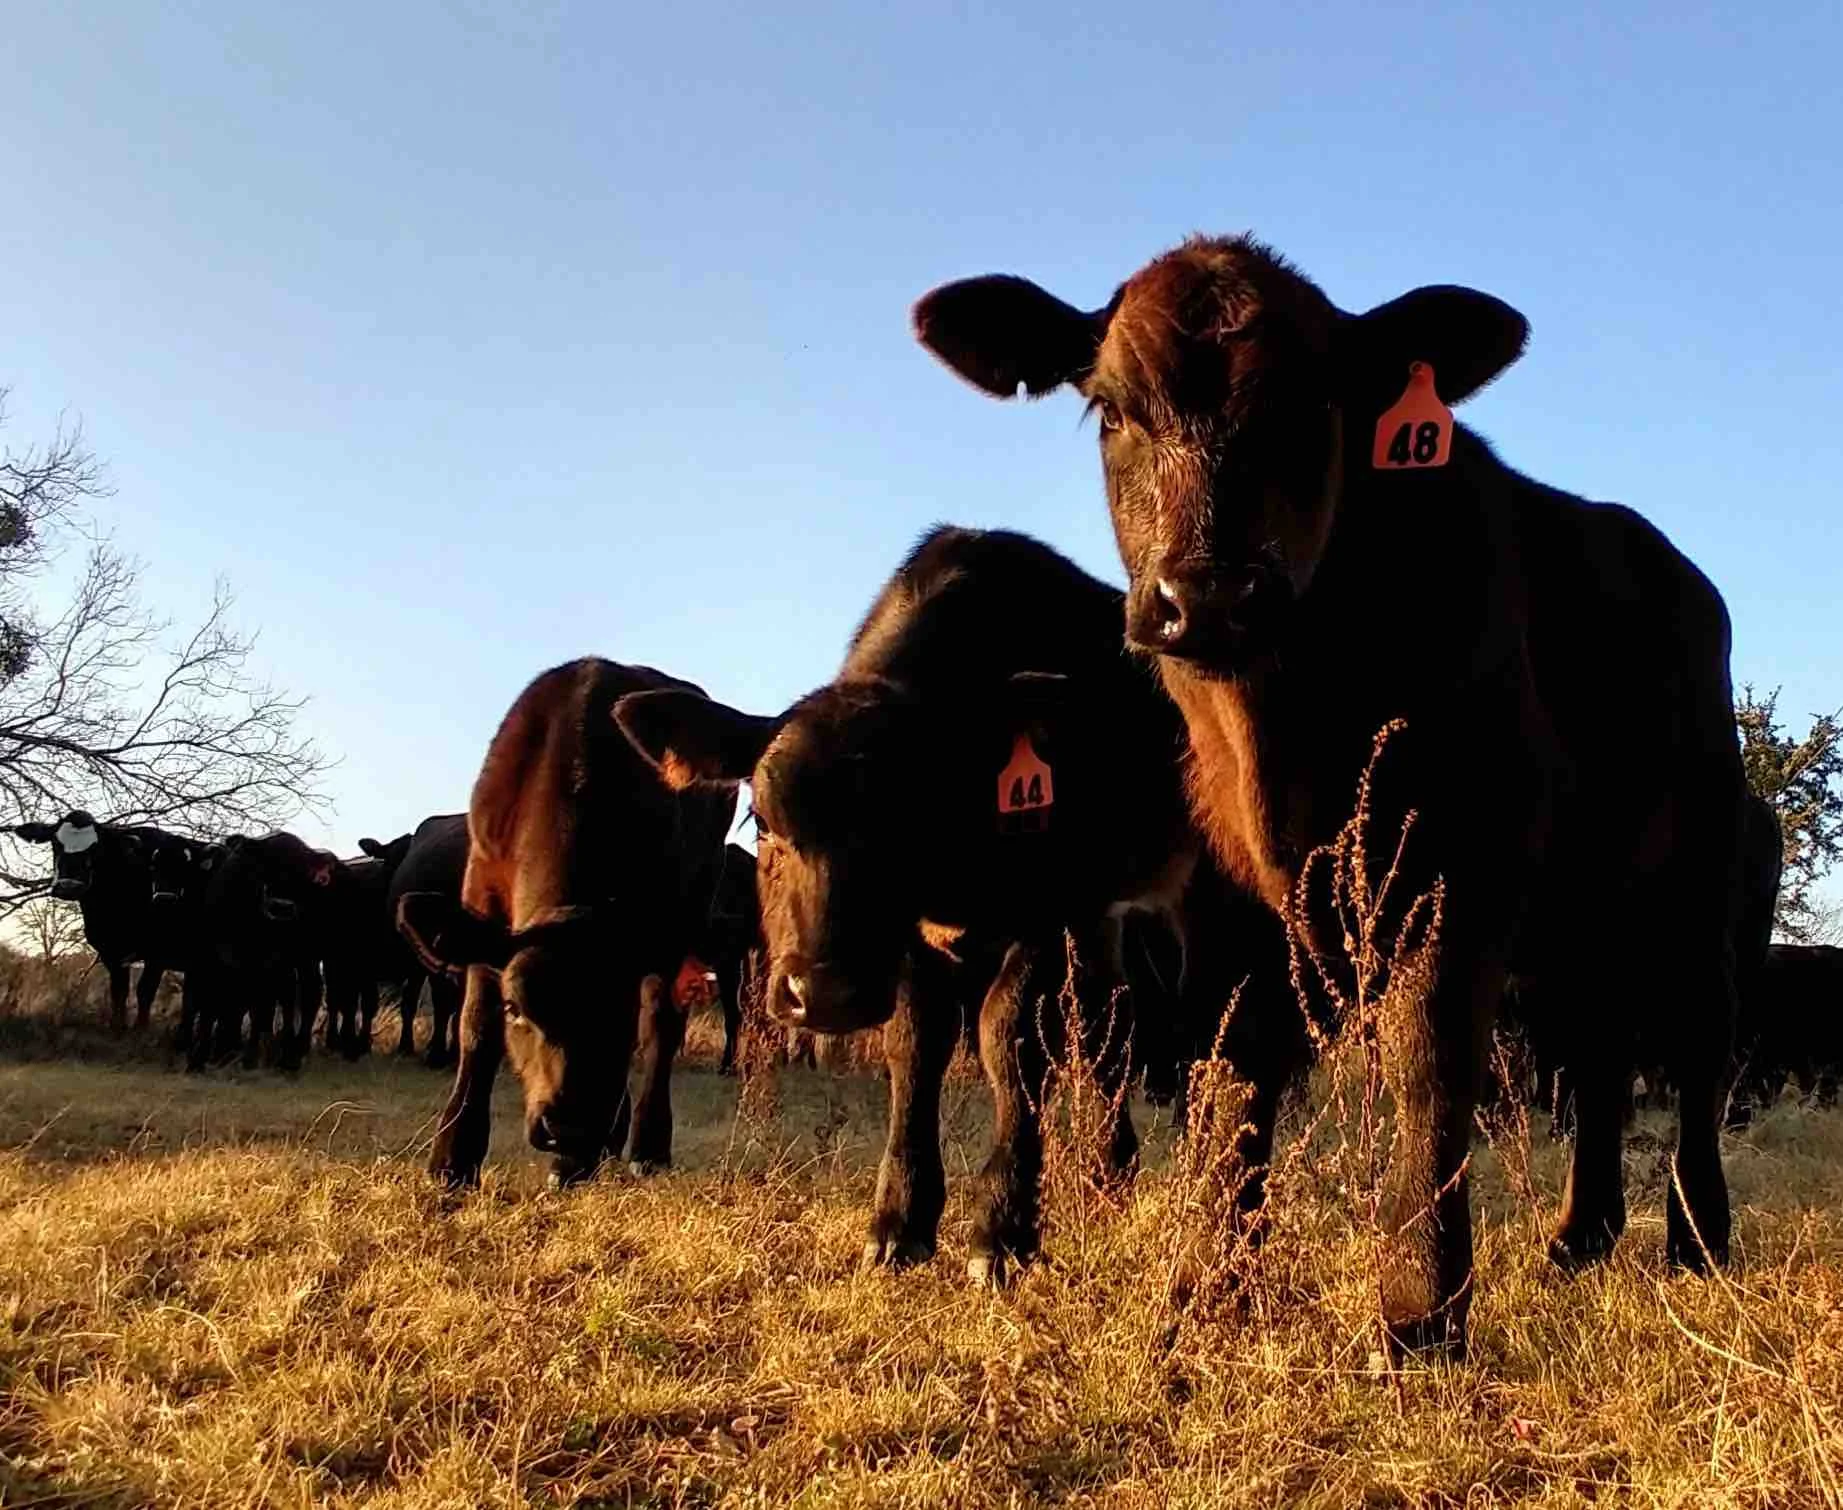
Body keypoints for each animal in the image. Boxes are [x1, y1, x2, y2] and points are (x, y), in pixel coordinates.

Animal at [11, 812, 179, 1032]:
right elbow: (119, 990)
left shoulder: (157, 952)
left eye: (95, 848)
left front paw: (139, 1031)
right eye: (56, 843)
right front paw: (117, 1027)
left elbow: (145, 991)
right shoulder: (110, 950)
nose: (68, 886)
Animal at [396, 659, 736, 1188]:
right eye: (515, 1008)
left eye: (616, 1013)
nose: (568, 1126)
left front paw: (577, 1161)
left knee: (662, 1024)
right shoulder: (482, 901)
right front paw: (452, 1159)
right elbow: (477, 1029)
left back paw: (643, 1146)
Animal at [615, 526, 1300, 1285]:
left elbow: (1011, 1041)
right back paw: (1106, 1177)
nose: (821, 991)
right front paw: (899, 1221)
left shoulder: (1046, 910)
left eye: (910, 819)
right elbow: (916, 1046)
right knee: (1110, 1028)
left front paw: (1001, 1230)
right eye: (762, 821)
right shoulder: (924, 938)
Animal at [913, 235, 1753, 1355]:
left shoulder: (1462, 865)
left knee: (1697, 1043)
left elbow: (1426, 1060)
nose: (1207, 596)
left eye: (1315, 407)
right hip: (1581, 911)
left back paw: (1696, 1237)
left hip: (1699, 876)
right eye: (1111, 410)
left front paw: (1418, 1306)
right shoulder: (1218, 899)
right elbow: (1229, 1070)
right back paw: (1580, 1235)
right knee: (1598, 1049)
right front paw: (1206, 1285)